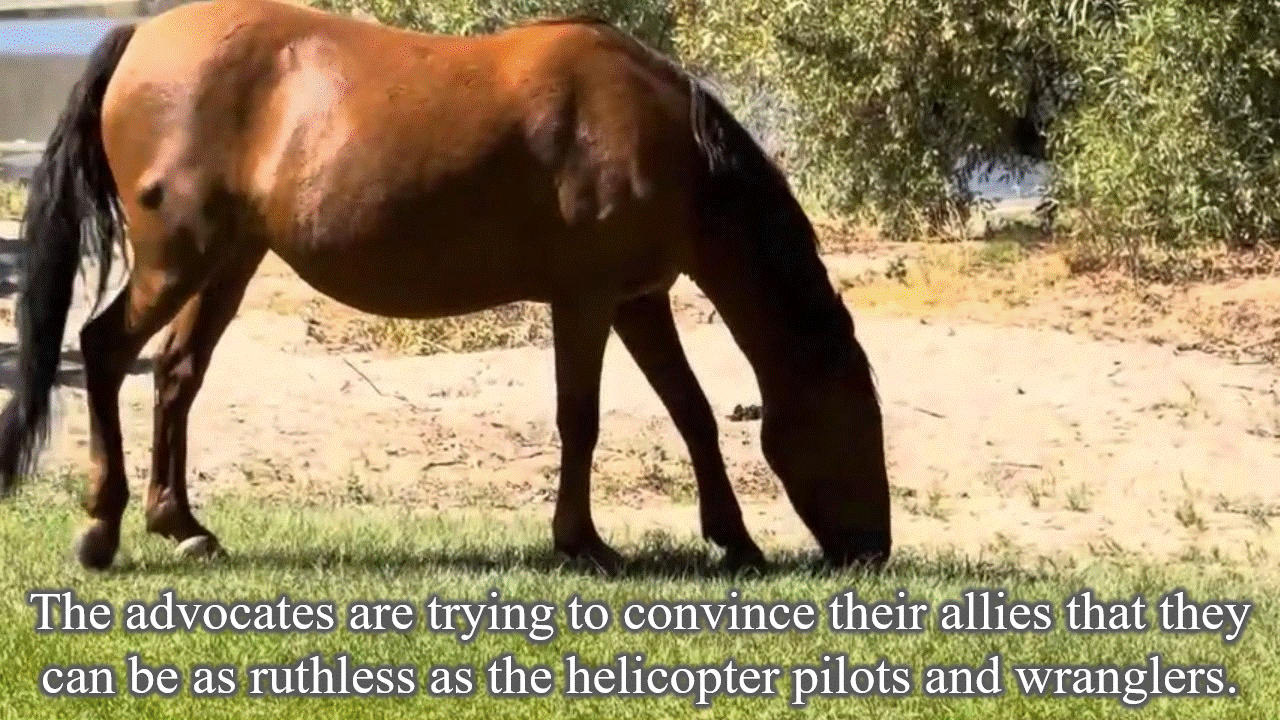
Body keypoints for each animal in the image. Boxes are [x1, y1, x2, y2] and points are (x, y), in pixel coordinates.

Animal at [0, 0, 892, 574]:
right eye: (858, 425)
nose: (874, 551)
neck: (666, 140)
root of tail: (140, 36)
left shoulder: (639, 300)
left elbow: (693, 414)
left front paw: (733, 538)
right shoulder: (587, 300)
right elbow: (580, 420)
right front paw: (583, 542)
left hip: (229, 261)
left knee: (177, 376)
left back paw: (180, 524)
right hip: (178, 259)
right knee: (104, 350)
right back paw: (103, 531)